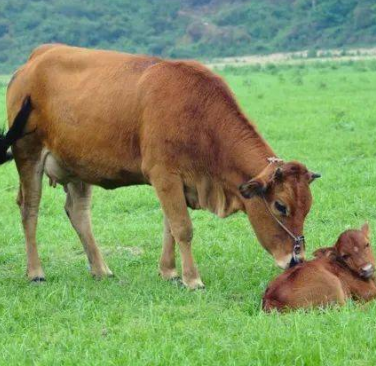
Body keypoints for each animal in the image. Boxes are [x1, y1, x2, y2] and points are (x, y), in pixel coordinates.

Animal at [3, 43, 320, 288]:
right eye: (281, 206)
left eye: (306, 208)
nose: (296, 259)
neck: (199, 115)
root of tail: (34, 60)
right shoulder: (164, 175)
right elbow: (182, 228)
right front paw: (192, 279)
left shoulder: (176, 181)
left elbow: (169, 226)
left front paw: (169, 271)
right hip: (27, 154)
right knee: (29, 210)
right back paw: (36, 271)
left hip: (78, 166)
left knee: (78, 213)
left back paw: (100, 268)